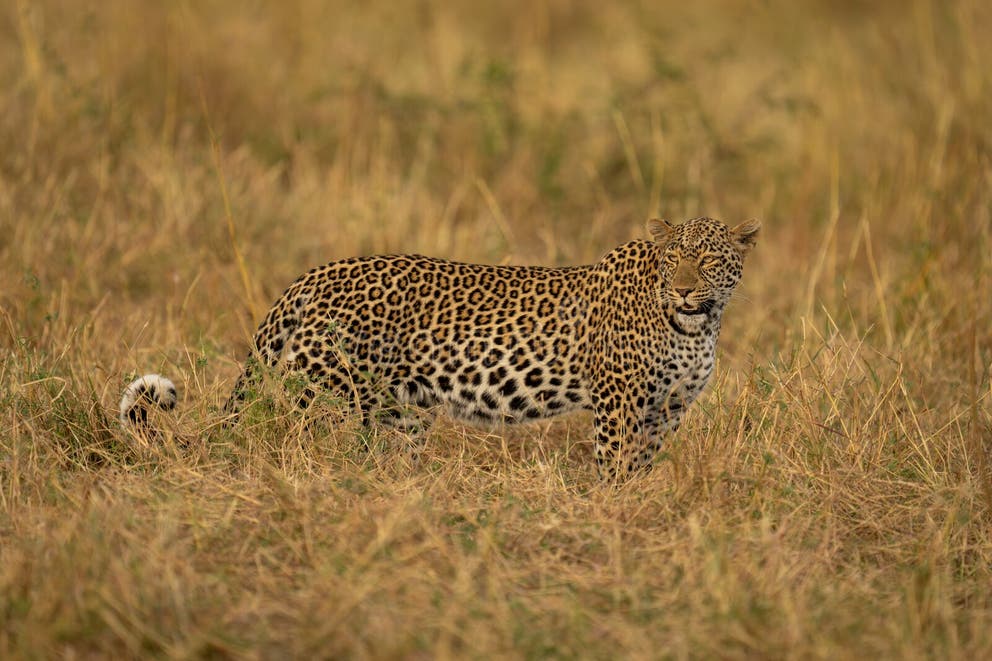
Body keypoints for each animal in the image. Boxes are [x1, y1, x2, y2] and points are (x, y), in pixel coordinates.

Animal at [121, 216, 759, 480]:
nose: (685, 288)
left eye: (708, 258)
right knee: (283, 441)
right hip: (330, 393)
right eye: (674, 258)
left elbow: (643, 464)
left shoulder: (667, 409)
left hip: (402, 410)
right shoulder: (621, 402)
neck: (698, 326)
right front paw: (612, 513)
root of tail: (315, 275)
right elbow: (616, 462)